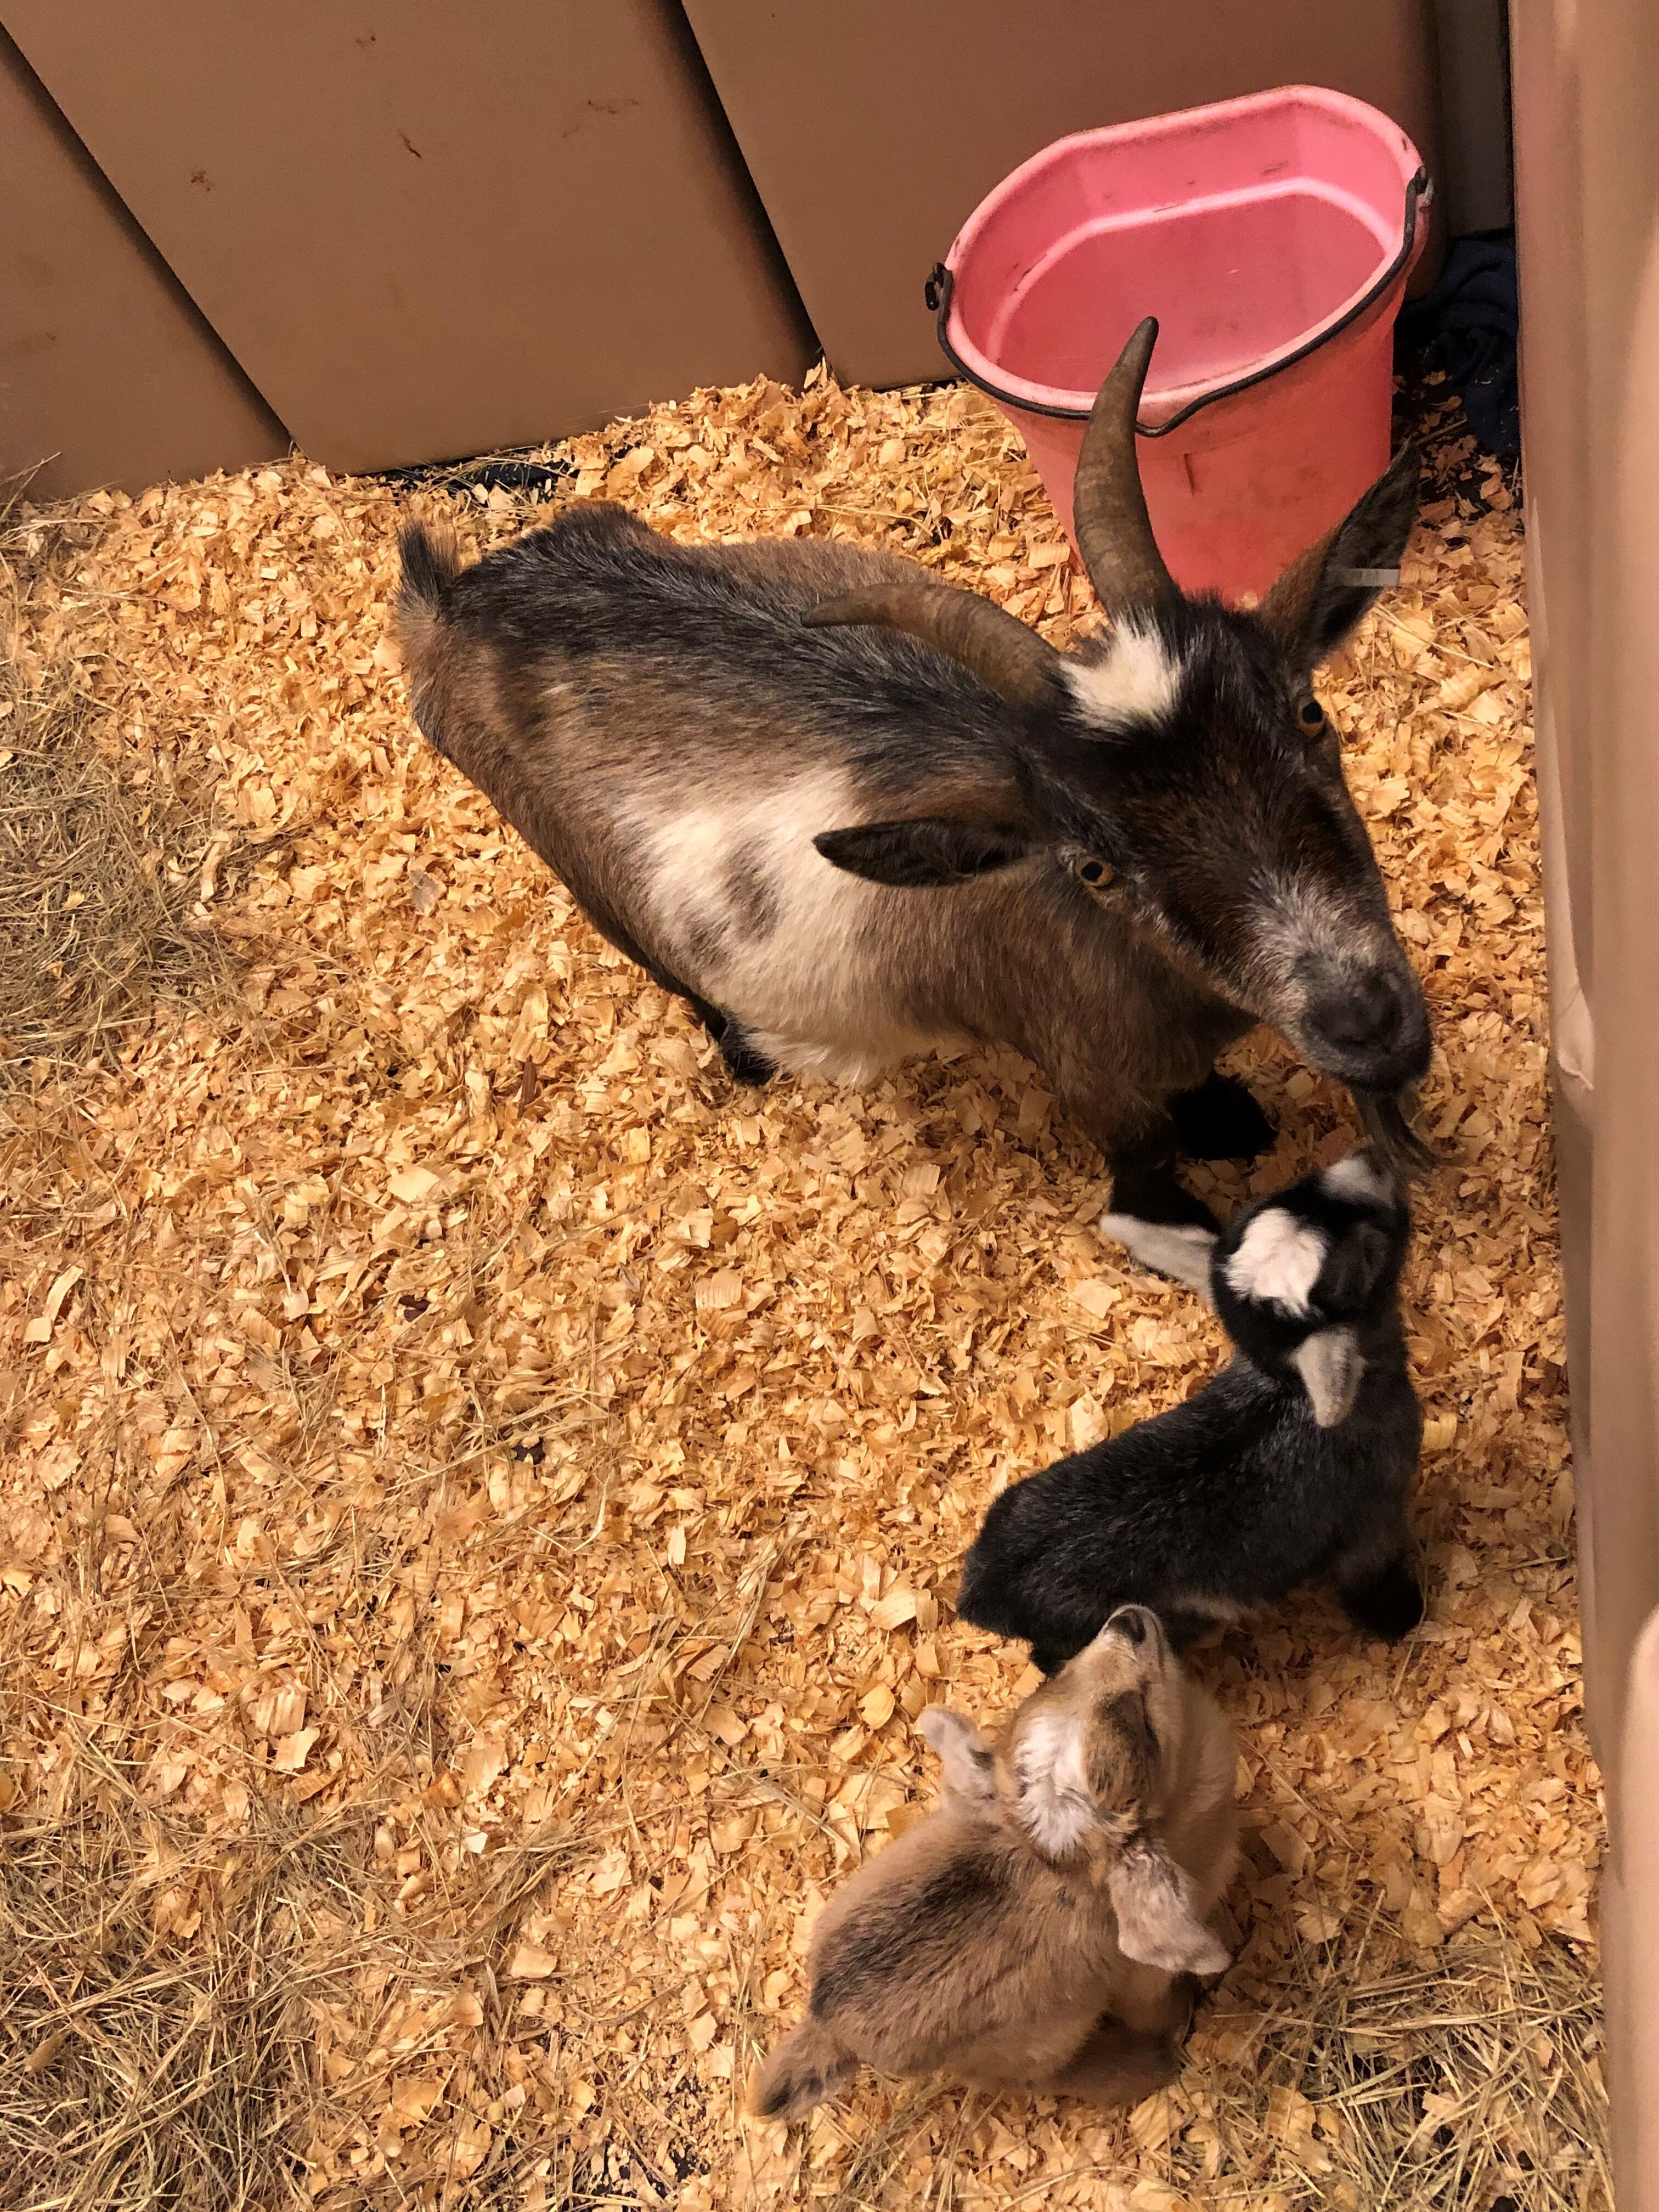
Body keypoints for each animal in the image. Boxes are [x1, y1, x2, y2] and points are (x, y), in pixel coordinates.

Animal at [395, 319, 1429, 1230]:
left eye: (1307, 714)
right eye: (1092, 865)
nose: (1366, 1019)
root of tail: (454, 602)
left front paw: (1232, 1114)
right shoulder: (1086, 1069)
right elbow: (1146, 1157)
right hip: (589, 884)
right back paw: (747, 1056)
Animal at [746, 1606, 1237, 2120]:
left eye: (1061, 1675)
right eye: (1143, 1728)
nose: (1129, 1620)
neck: (1046, 1863)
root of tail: (828, 2025)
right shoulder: (1142, 1981)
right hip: (1031, 2053)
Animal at [957, 1149, 1424, 1671]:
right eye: (1368, 1257)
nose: (1375, 1160)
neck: (1289, 1394)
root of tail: (985, 1593)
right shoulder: (1373, 1510)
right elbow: (1370, 1570)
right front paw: (1404, 1617)